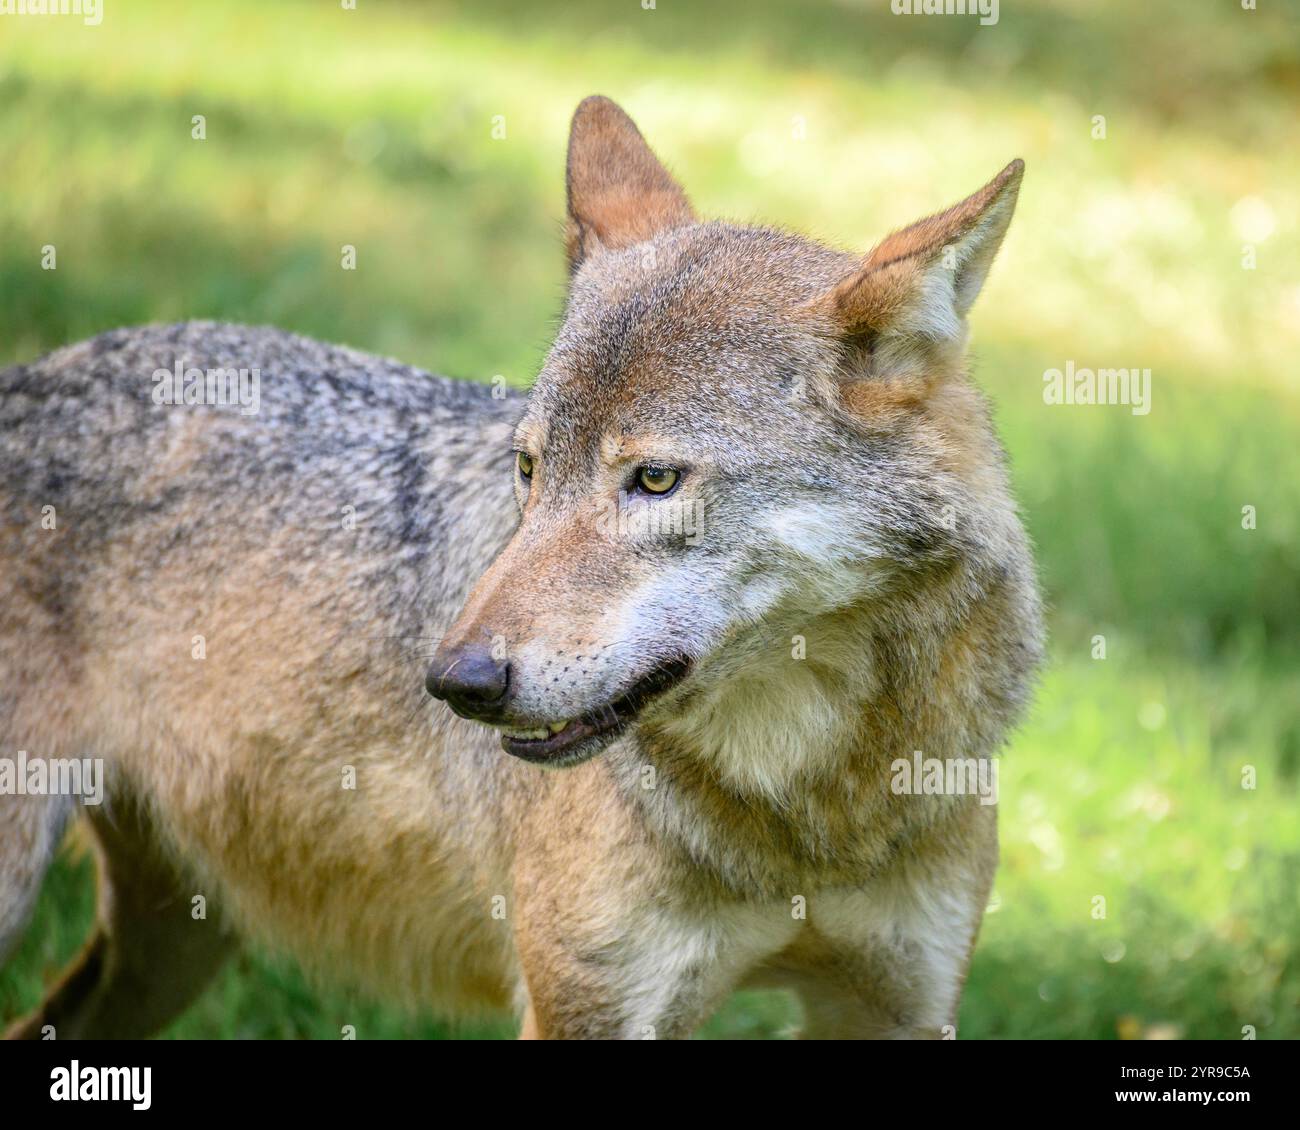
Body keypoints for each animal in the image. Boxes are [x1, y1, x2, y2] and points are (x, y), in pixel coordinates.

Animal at [0, 96, 1041, 1040]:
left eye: (654, 480)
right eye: (530, 469)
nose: (456, 682)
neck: (806, 822)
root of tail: (27, 377)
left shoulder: (902, 1005)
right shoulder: (582, 1011)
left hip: (171, 951)